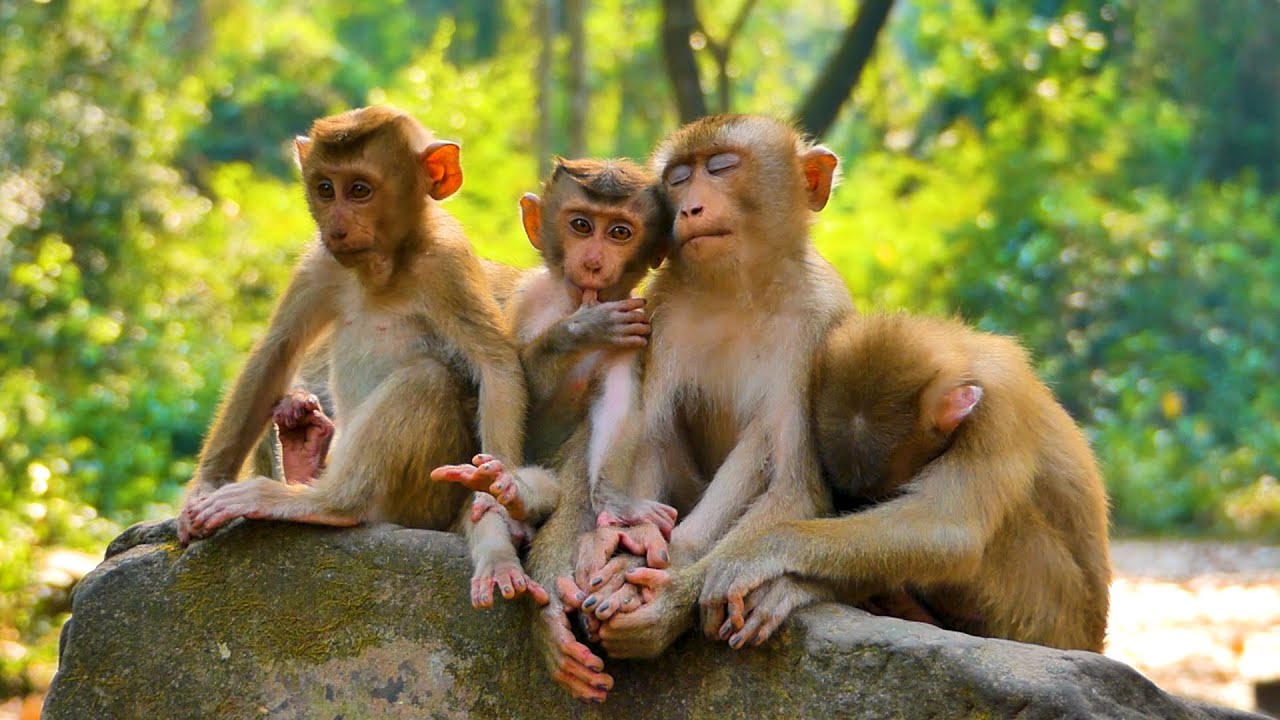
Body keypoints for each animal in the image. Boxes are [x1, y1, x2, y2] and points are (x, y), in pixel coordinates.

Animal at [177, 106, 547, 608]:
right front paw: (205, 486)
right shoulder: (321, 262)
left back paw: (326, 503)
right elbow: (277, 348)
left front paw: (497, 507)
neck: (384, 269)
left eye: (360, 191)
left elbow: (495, 365)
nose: (336, 225)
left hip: (420, 499)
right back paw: (303, 452)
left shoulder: (446, 263)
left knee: (426, 378)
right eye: (325, 189)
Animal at [576, 115, 854, 664]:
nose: (690, 208)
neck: (739, 290)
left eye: (722, 167)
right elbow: (648, 434)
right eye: (680, 178)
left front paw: (671, 594)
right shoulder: (663, 307)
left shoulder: (819, 321)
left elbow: (794, 491)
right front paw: (634, 549)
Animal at [696, 312, 1112, 653]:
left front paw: (757, 552)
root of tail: (1090, 639)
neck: (968, 359)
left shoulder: (998, 408)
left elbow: (948, 531)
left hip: (1046, 614)